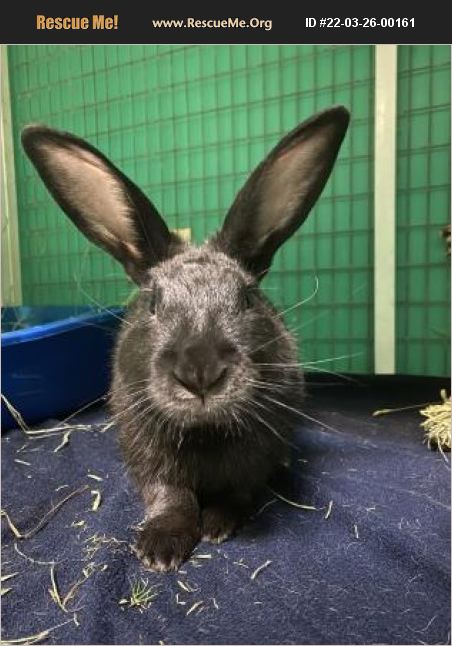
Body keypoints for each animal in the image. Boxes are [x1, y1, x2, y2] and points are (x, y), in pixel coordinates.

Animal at [22, 105, 350, 571]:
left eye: (248, 297)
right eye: (153, 302)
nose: (201, 374)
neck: (204, 432)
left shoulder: (255, 462)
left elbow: (238, 492)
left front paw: (216, 525)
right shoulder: (149, 460)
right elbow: (171, 496)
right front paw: (160, 548)